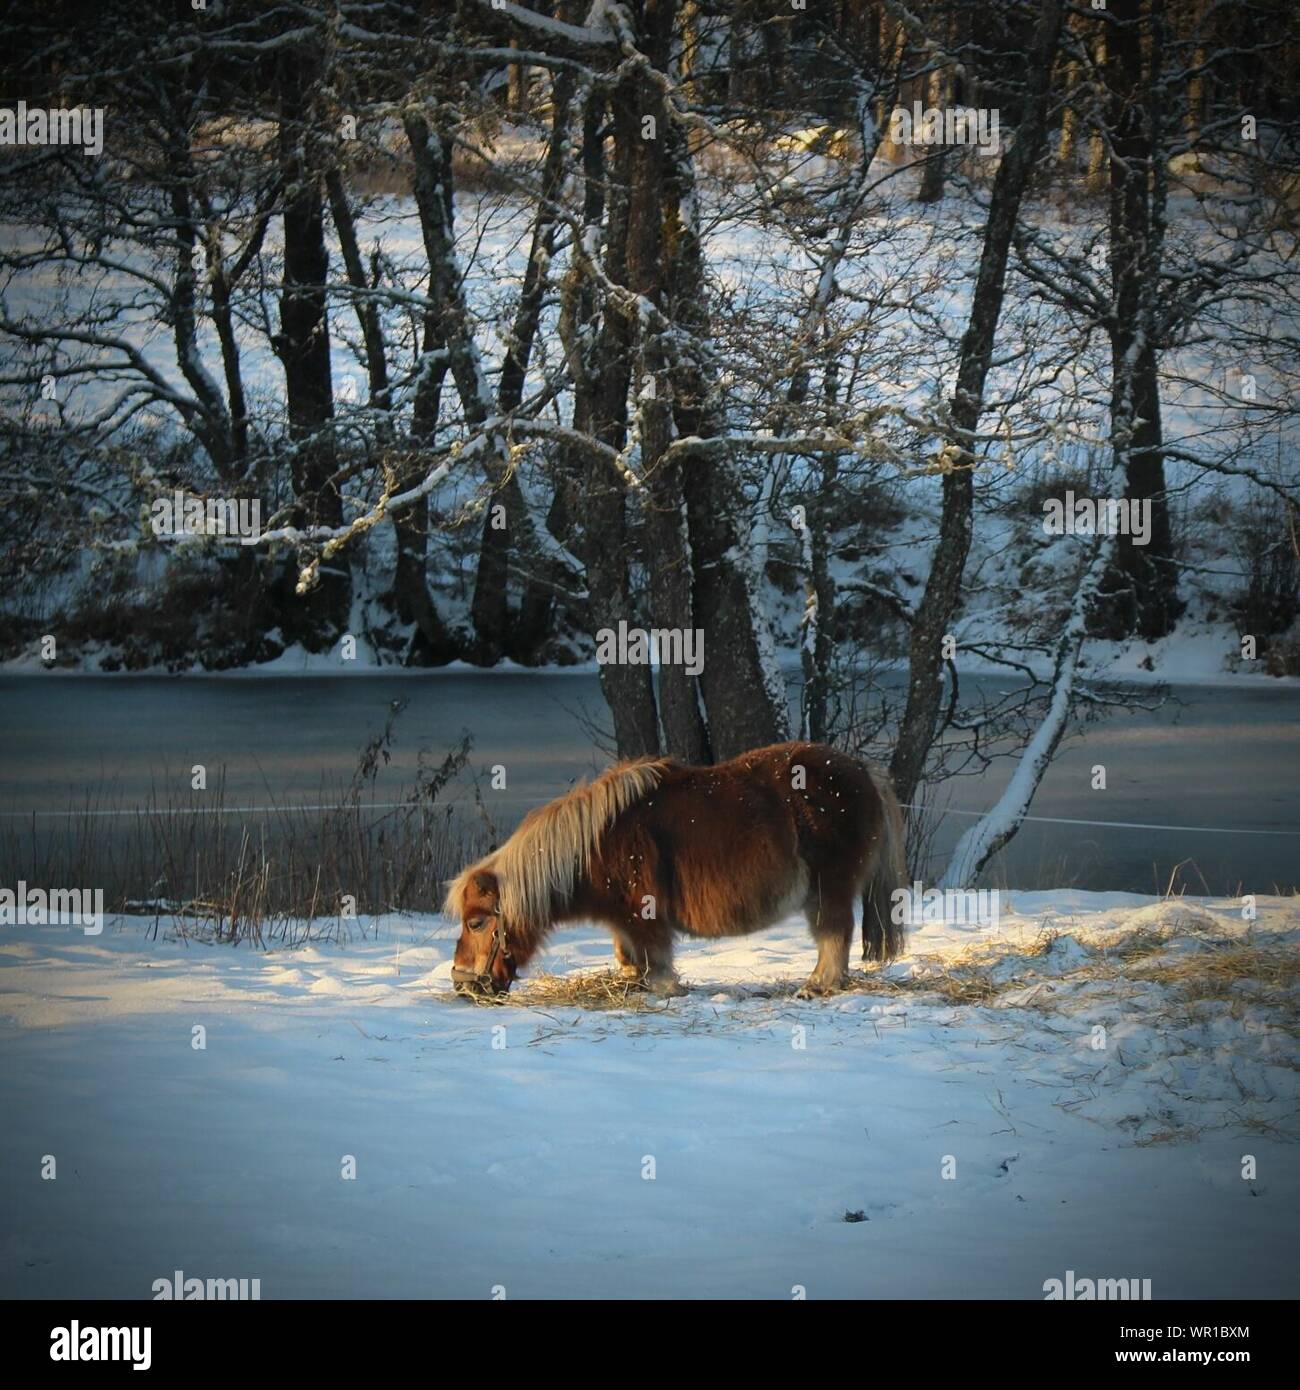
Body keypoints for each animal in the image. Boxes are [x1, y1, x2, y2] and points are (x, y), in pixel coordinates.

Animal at [446, 740, 908, 999]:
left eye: (476, 922)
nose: (462, 984)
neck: (596, 843)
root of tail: (863, 770)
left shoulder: (644, 914)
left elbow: (656, 957)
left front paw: (664, 990)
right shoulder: (622, 921)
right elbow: (627, 955)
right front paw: (632, 984)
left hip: (829, 888)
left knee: (834, 935)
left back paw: (817, 987)